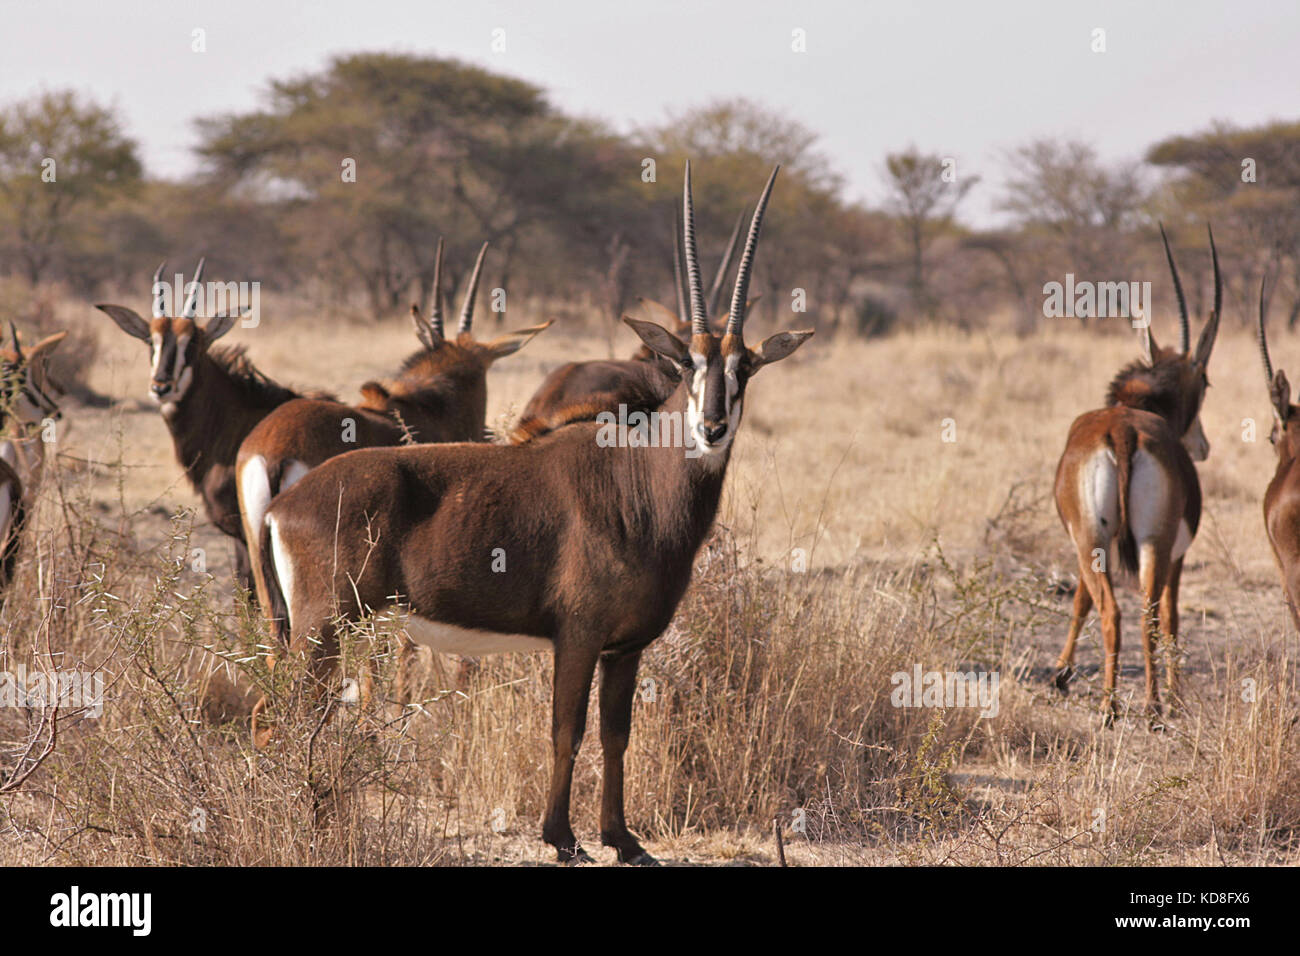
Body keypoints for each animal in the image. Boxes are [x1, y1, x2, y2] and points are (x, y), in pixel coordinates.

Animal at [1052, 225, 1221, 721]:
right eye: (1205, 382)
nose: (1202, 447)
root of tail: (1123, 430)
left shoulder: (1092, 544)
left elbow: (1083, 600)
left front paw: (1062, 674)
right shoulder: (1179, 555)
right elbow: (1173, 616)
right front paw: (1177, 693)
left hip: (1098, 538)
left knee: (1115, 609)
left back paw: (1114, 704)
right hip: (1151, 542)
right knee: (1145, 610)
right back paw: (1148, 704)